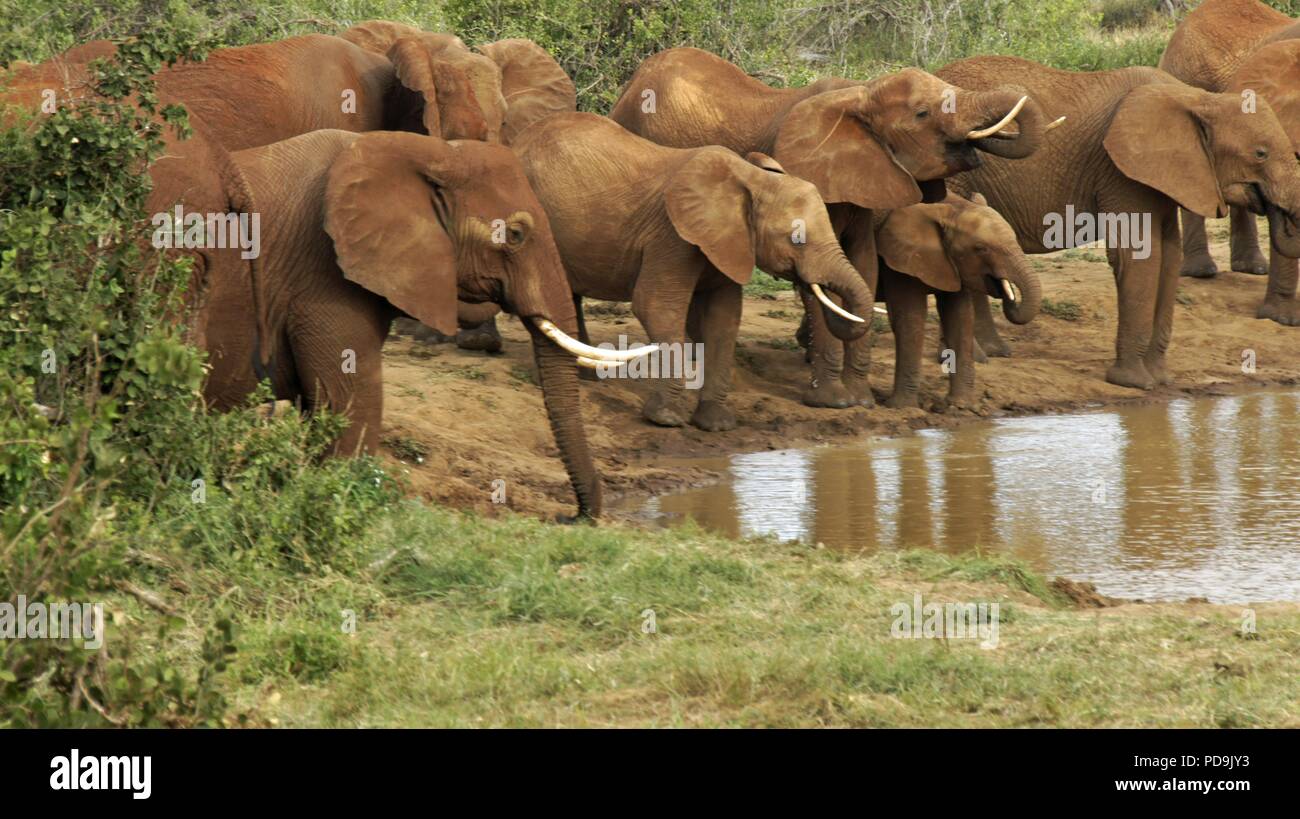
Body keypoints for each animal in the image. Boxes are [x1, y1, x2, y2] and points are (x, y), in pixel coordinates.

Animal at [512, 112, 874, 432]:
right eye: (797, 238)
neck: (750, 179)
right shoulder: (671, 236)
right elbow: (657, 306)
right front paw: (666, 419)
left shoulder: (728, 243)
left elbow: (724, 319)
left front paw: (716, 424)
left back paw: (584, 374)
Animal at [874, 193, 1042, 410]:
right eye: (981, 248)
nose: (1008, 294)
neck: (948, 209)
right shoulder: (898, 259)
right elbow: (911, 315)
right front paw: (901, 407)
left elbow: (959, 316)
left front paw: (960, 406)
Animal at [935, 56, 1300, 389]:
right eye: (1261, 154)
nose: (1277, 211)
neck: (1196, 99)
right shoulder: (1120, 171)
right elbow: (1140, 256)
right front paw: (1134, 383)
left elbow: (1169, 257)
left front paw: (1160, 380)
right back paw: (971, 357)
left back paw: (991, 353)